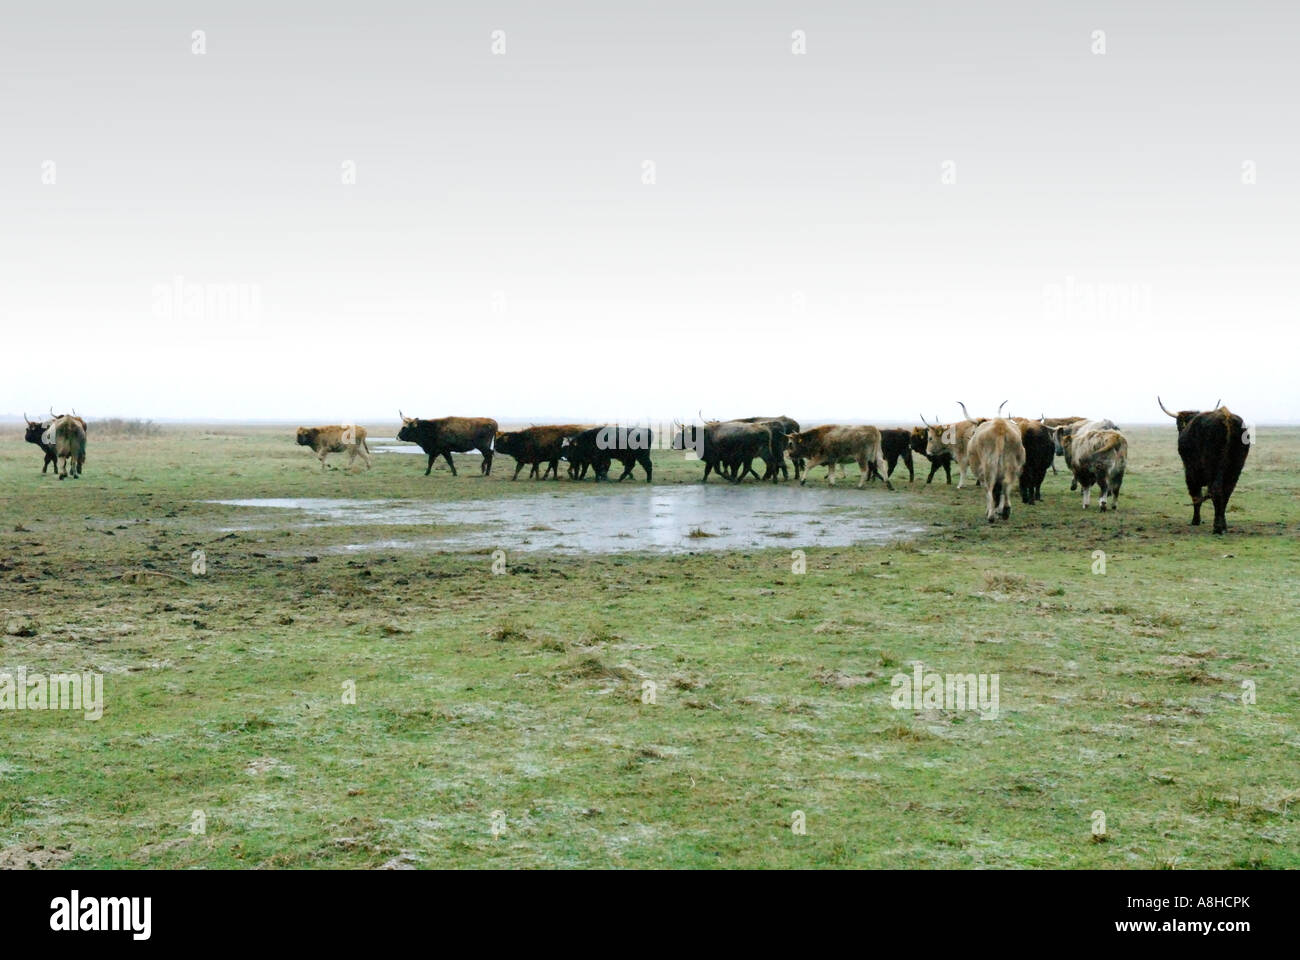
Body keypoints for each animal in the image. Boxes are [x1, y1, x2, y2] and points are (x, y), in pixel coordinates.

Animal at [1158, 397, 1250, 534]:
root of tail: (1226, 417)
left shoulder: (1190, 473)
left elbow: (1196, 496)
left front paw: (1195, 521)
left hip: (1212, 468)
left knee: (1216, 491)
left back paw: (1217, 528)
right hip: (1235, 469)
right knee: (1227, 492)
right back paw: (1223, 526)